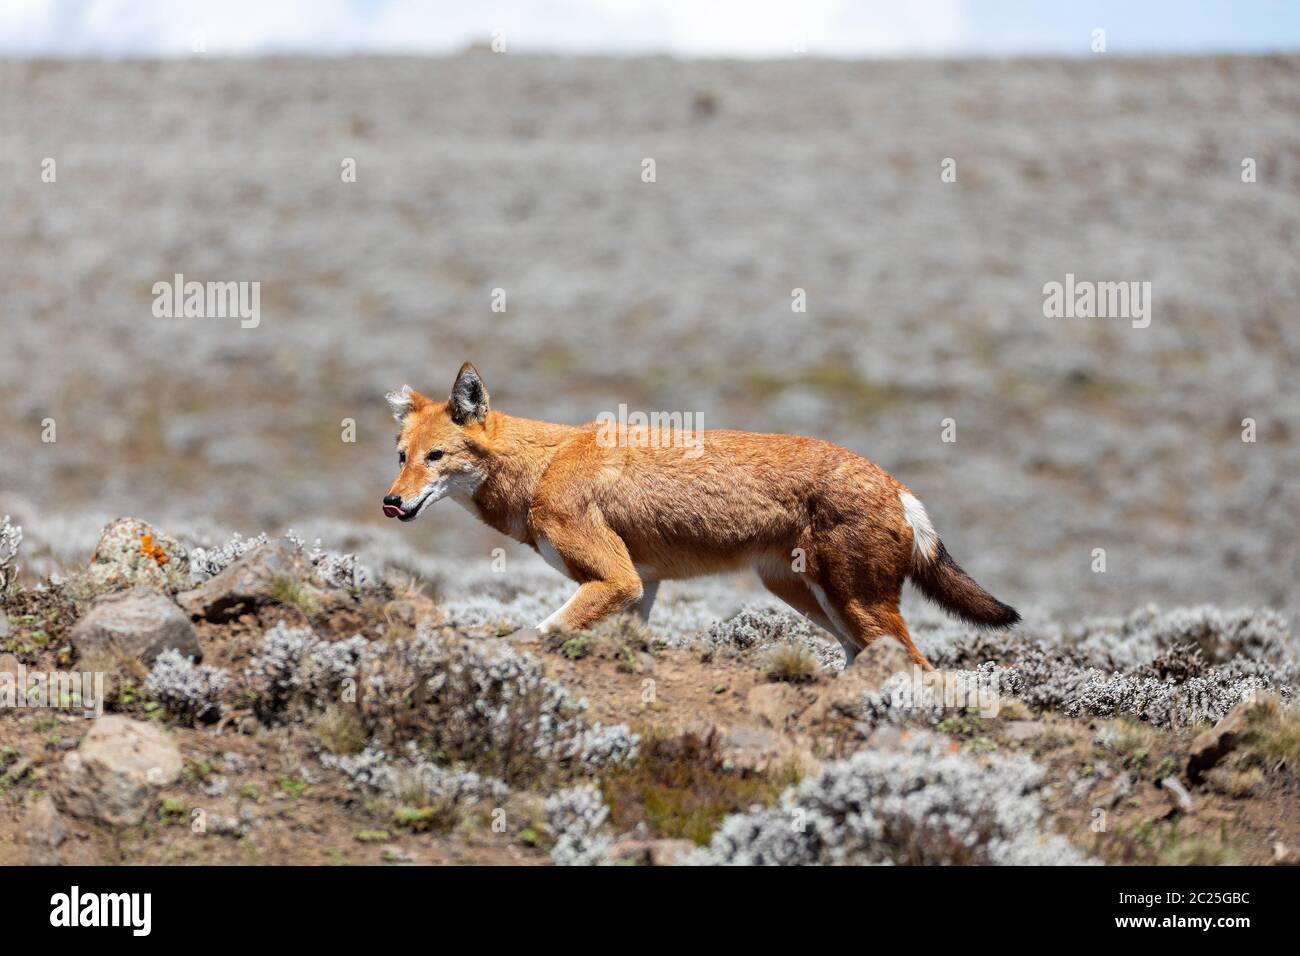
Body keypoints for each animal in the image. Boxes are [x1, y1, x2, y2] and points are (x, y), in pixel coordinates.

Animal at [382, 363, 1019, 670]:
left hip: (852, 606)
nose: (391, 502)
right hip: (813, 601)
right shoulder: (641, 589)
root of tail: (897, 485)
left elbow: (540, 631)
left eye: (436, 457)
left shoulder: (619, 580)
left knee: (923, 668)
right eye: (401, 457)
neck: (542, 466)